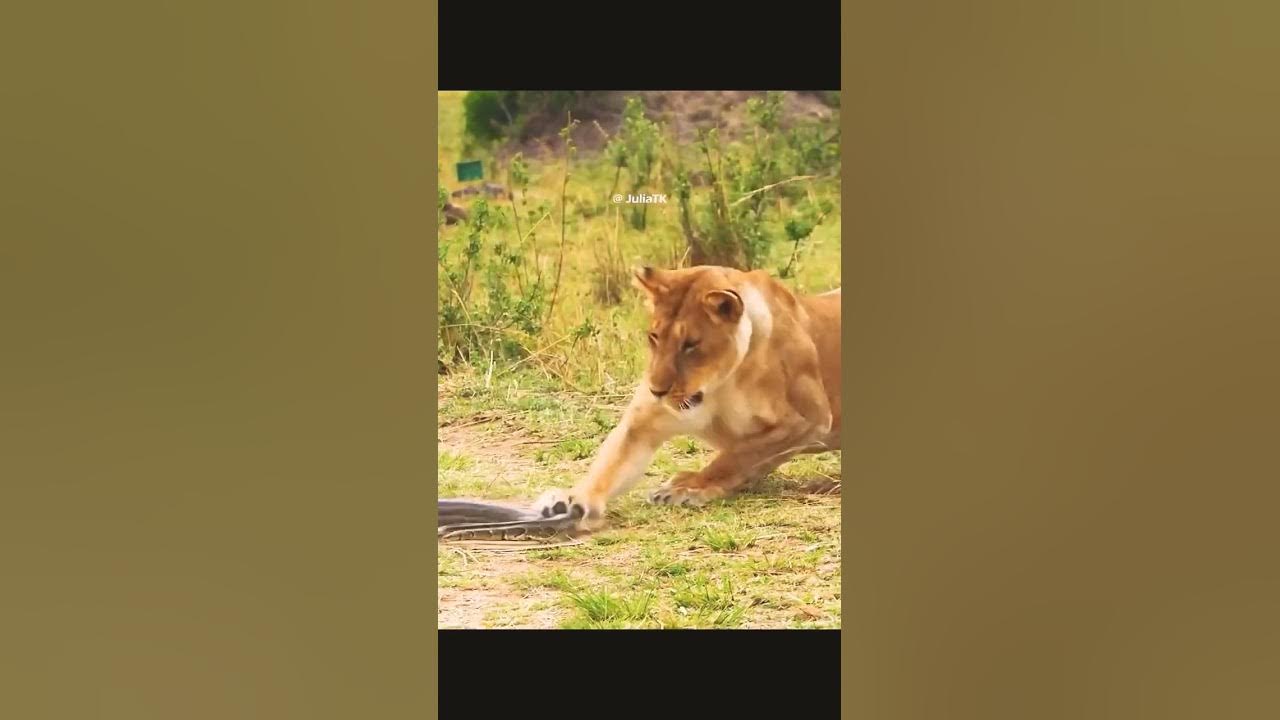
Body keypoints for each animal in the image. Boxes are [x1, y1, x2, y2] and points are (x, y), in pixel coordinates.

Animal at [532, 263, 841, 531]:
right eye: (654, 336)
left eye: (691, 345)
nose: (657, 390)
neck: (720, 384)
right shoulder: (644, 422)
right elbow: (611, 464)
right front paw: (573, 499)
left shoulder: (808, 420)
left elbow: (736, 455)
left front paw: (688, 487)